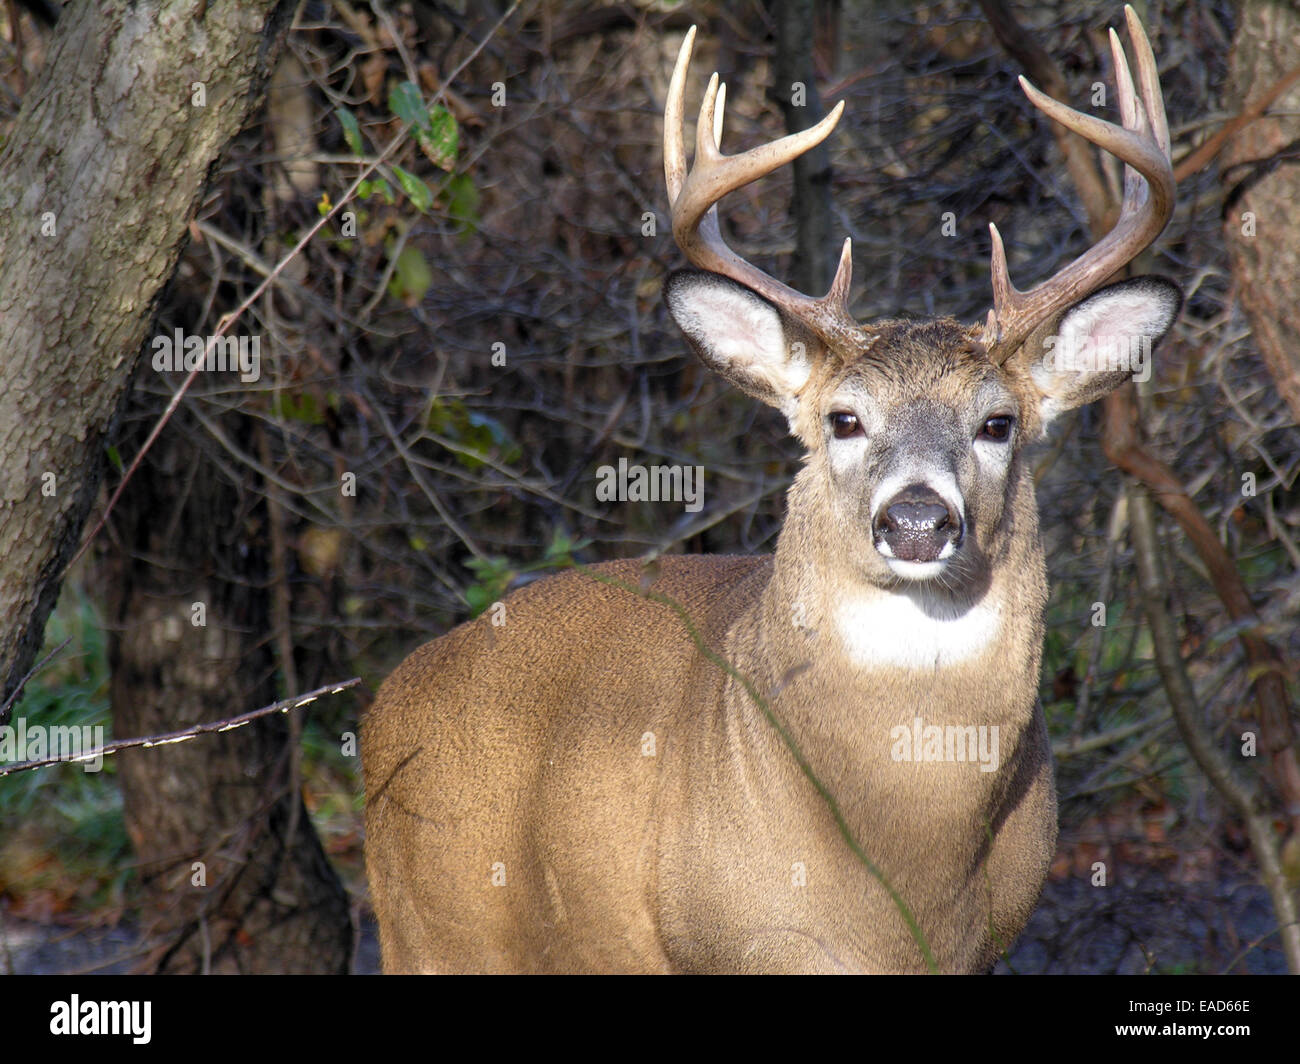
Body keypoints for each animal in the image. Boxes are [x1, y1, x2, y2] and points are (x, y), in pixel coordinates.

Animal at [362, 5, 1181, 973]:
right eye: (843, 418)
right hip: (427, 930)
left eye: (998, 423)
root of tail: (388, 700)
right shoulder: (739, 937)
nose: (916, 519)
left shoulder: (990, 942)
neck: (908, 881)